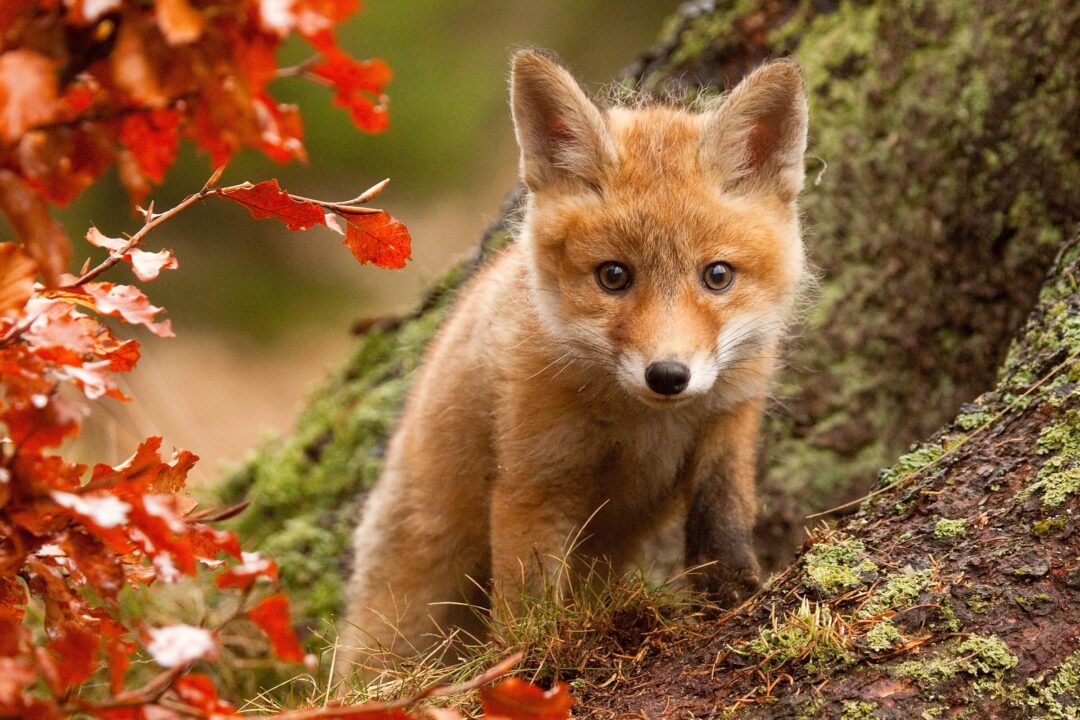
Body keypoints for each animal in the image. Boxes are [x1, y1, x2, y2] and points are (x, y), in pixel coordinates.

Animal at [339, 49, 809, 673]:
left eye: (717, 276)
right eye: (613, 276)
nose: (668, 376)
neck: (645, 425)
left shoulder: (728, 425)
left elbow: (723, 522)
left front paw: (736, 596)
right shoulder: (535, 480)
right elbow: (528, 598)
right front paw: (530, 661)